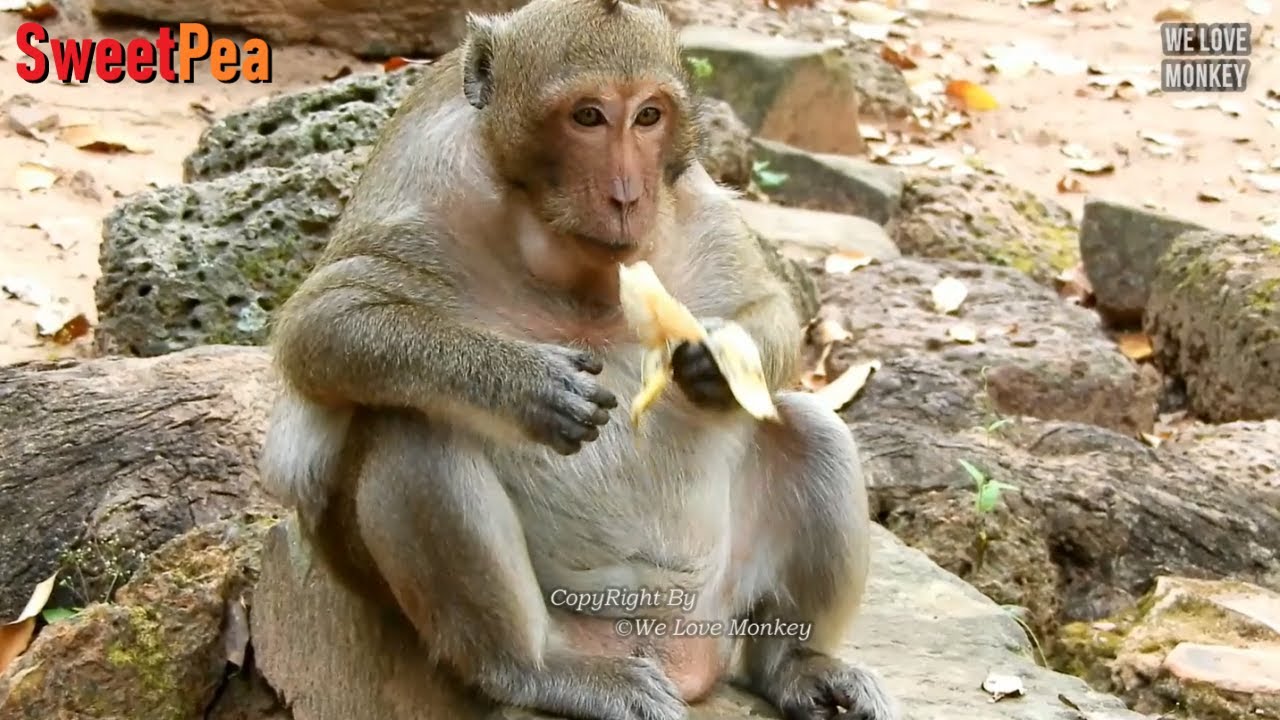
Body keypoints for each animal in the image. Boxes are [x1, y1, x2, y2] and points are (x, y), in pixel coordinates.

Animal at [257, 0, 900, 719]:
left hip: (722, 604)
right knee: (413, 430)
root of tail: (676, 658)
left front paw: (715, 360)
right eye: (587, 116)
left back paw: (797, 662)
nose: (626, 195)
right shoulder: (423, 185)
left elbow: (770, 305)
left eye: (648, 116)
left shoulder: (691, 200)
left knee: (811, 428)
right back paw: (536, 670)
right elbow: (323, 327)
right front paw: (525, 384)